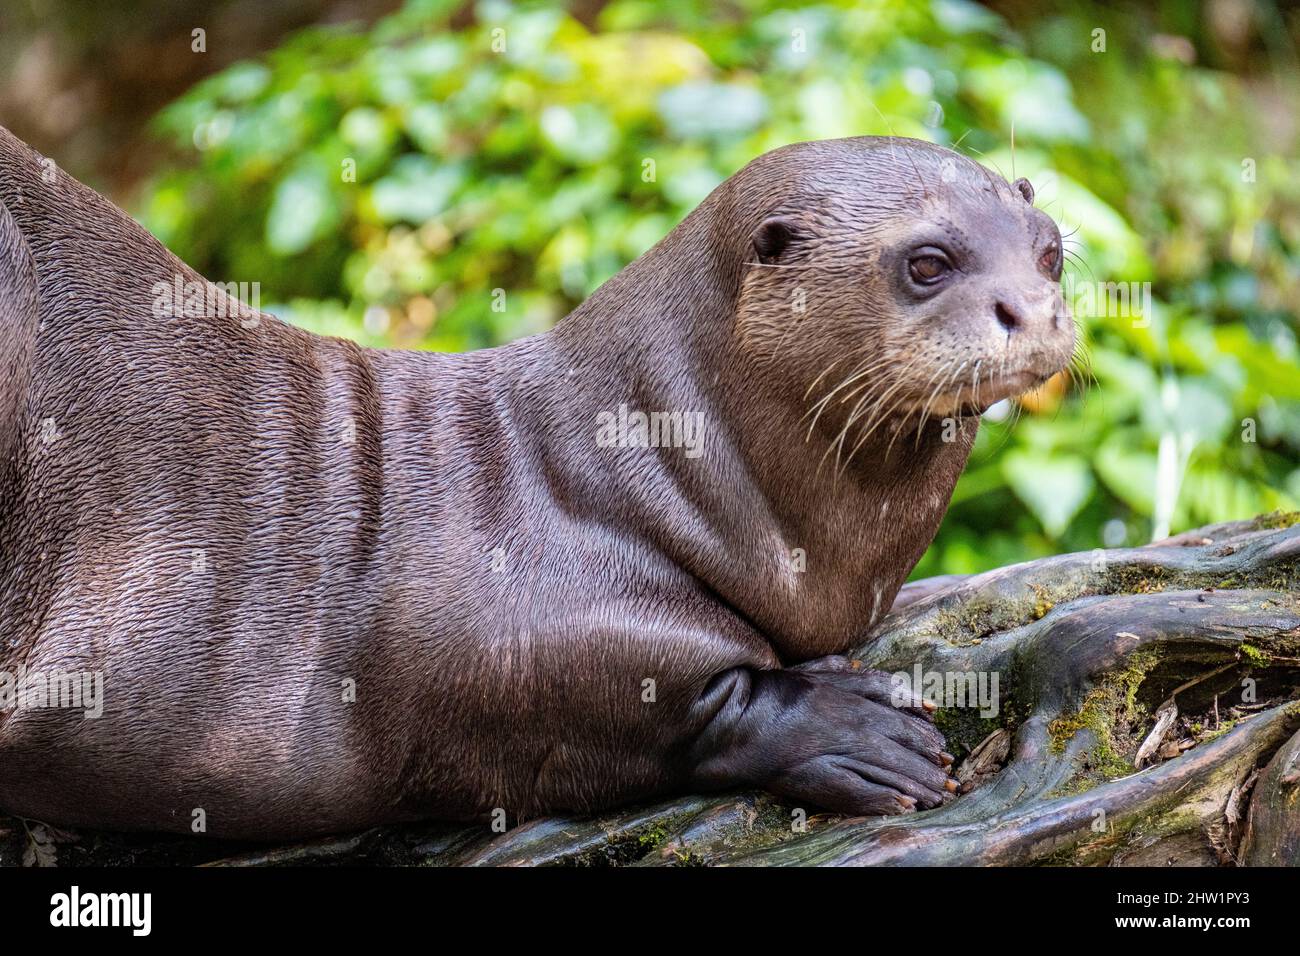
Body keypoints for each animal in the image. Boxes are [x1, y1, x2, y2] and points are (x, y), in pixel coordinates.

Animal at [0, 127, 1073, 839]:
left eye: (1051, 250)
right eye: (928, 261)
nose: (1034, 308)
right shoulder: (493, 621)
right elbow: (638, 695)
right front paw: (863, 733)